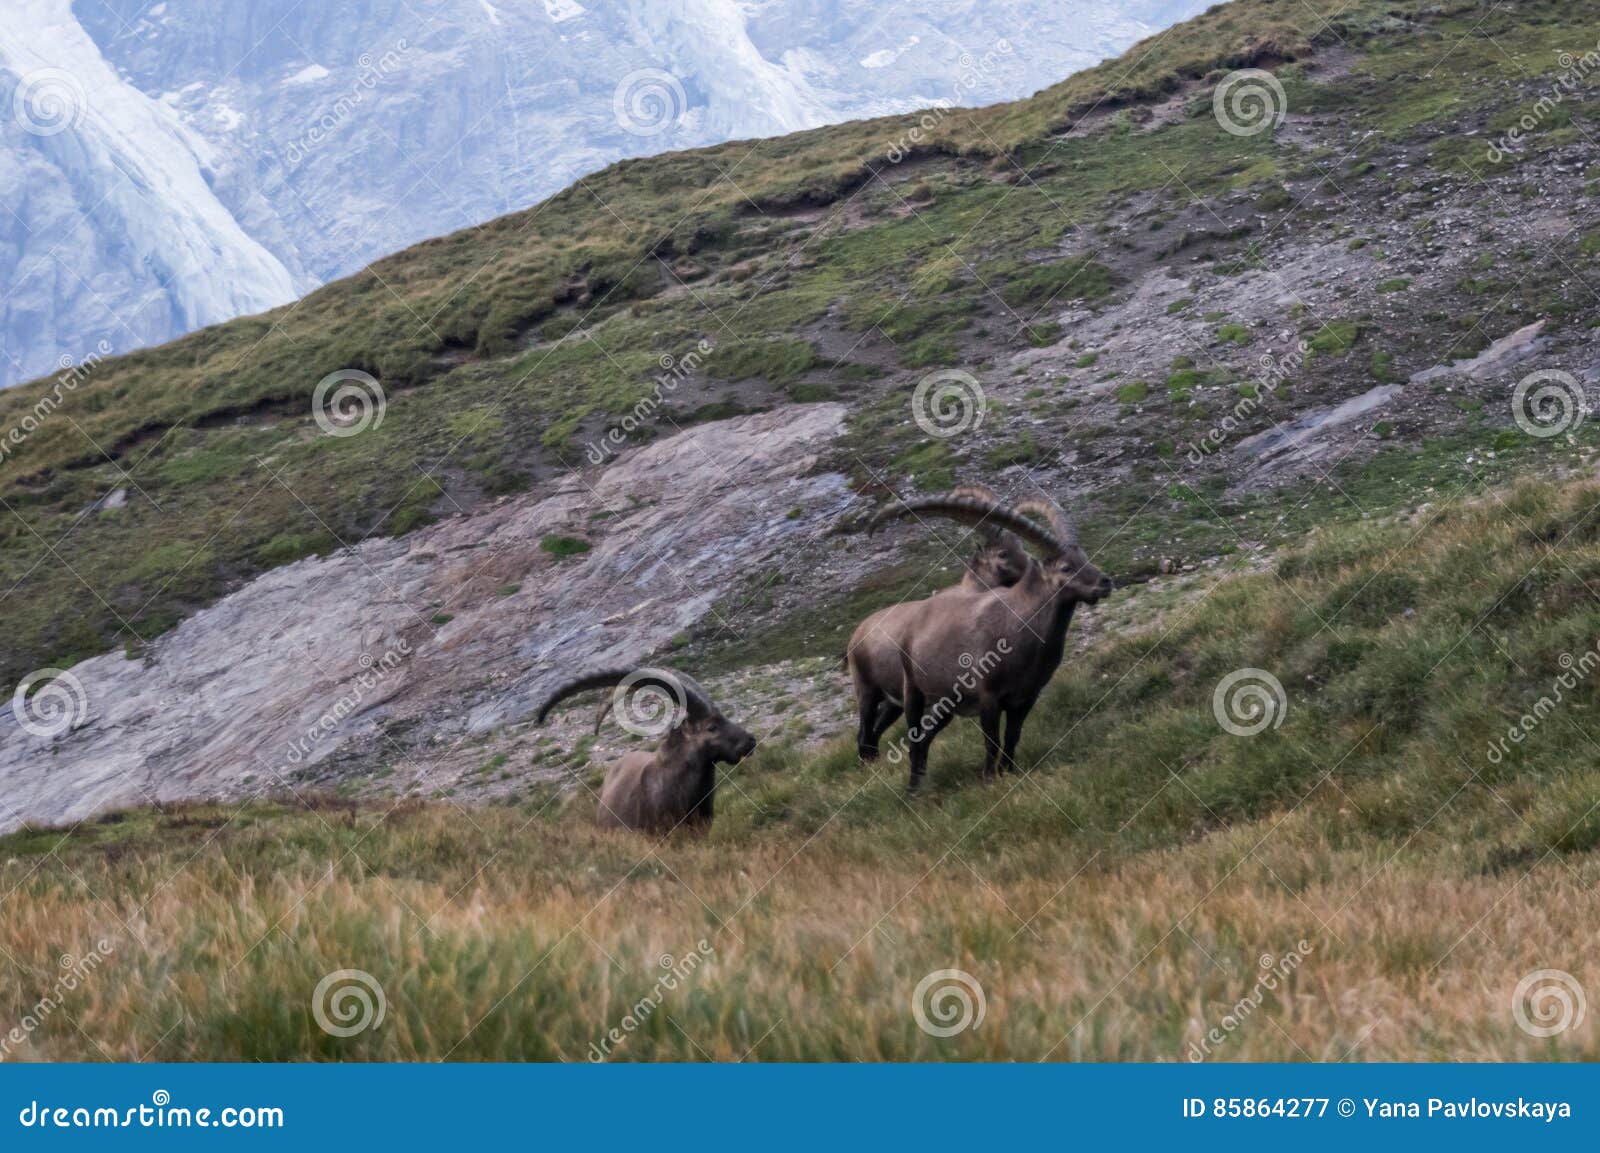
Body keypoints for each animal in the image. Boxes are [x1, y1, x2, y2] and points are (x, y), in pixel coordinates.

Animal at [846, 485, 1031, 761]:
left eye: (1019, 544)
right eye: (1002, 553)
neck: (972, 593)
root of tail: (857, 633)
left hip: (892, 701)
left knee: (875, 733)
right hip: (867, 689)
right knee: (864, 733)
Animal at [863, 492, 1113, 790]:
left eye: (1084, 556)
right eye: (1065, 567)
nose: (1105, 581)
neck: (1020, 623)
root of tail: (918, 614)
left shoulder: (1026, 697)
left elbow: (1012, 737)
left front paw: (1009, 772)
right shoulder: (988, 697)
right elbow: (991, 741)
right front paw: (989, 780)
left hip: (945, 702)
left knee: (925, 739)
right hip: (912, 689)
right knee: (913, 737)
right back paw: (914, 789)